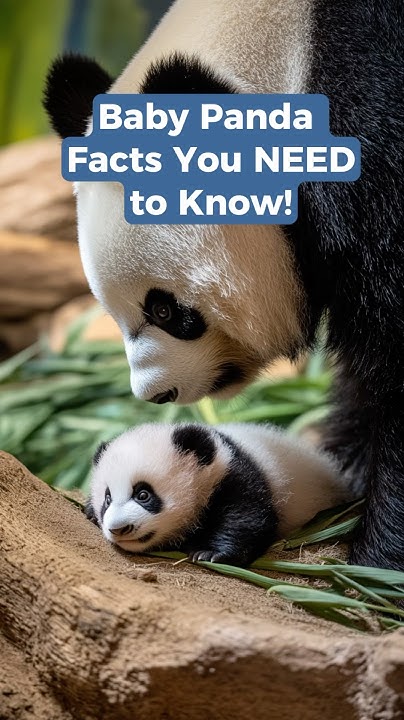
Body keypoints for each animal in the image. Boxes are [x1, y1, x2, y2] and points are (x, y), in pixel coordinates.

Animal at [86, 422, 354, 566]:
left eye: (143, 494)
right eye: (107, 499)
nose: (118, 529)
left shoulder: (239, 477)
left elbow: (246, 519)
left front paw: (211, 553)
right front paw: (89, 509)